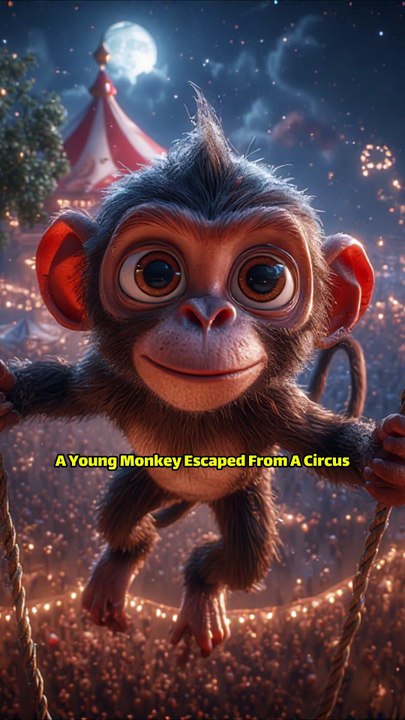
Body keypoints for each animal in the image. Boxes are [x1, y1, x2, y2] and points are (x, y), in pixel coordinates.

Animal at [0, 92, 404, 658]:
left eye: (264, 278)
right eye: (155, 273)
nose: (208, 315)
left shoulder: (273, 410)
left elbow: (327, 443)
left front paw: (388, 458)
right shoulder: (110, 384)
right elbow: (66, 391)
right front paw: (8, 394)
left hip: (242, 495)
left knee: (242, 558)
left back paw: (201, 589)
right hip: (146, 480)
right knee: (121, 521)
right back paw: (119, 565)